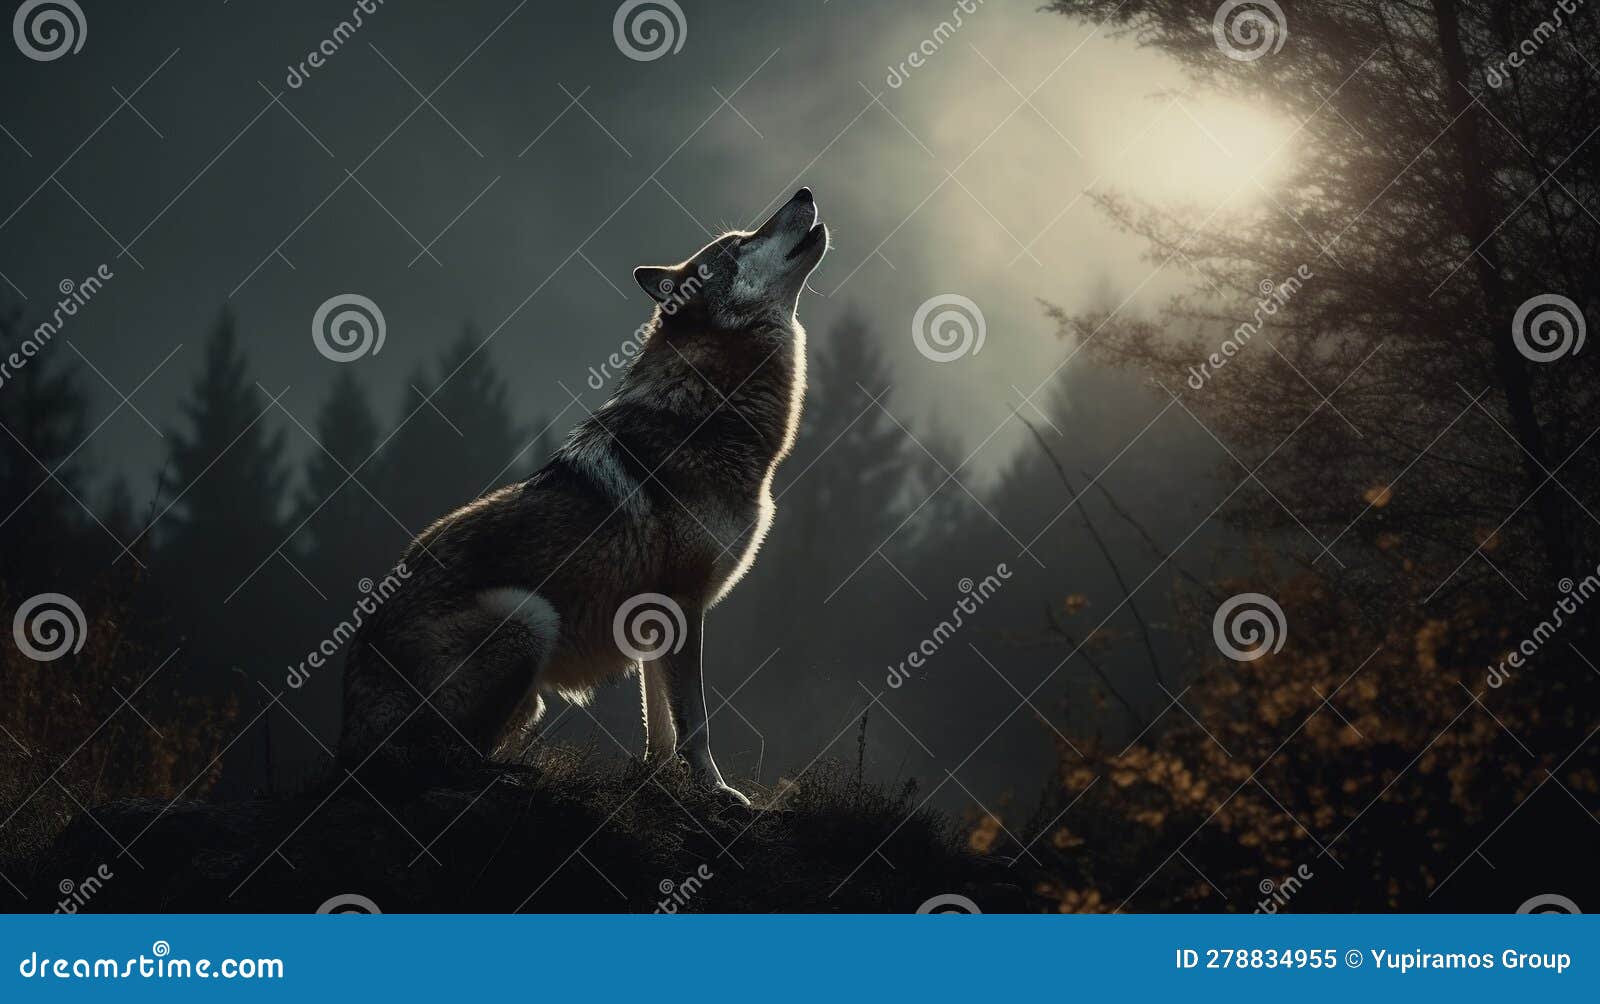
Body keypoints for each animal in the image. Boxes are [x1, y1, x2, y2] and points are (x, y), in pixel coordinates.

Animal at [337, 188, 828, 804]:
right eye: (740, 243)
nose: (804, 192)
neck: (709, 411)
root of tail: (349, 731)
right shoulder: (682, 603)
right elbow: (695, 722)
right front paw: (716, 793)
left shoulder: (656, 618)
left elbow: (660, 724)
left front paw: (656, 781)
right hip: (527, 618)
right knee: (449, 761)